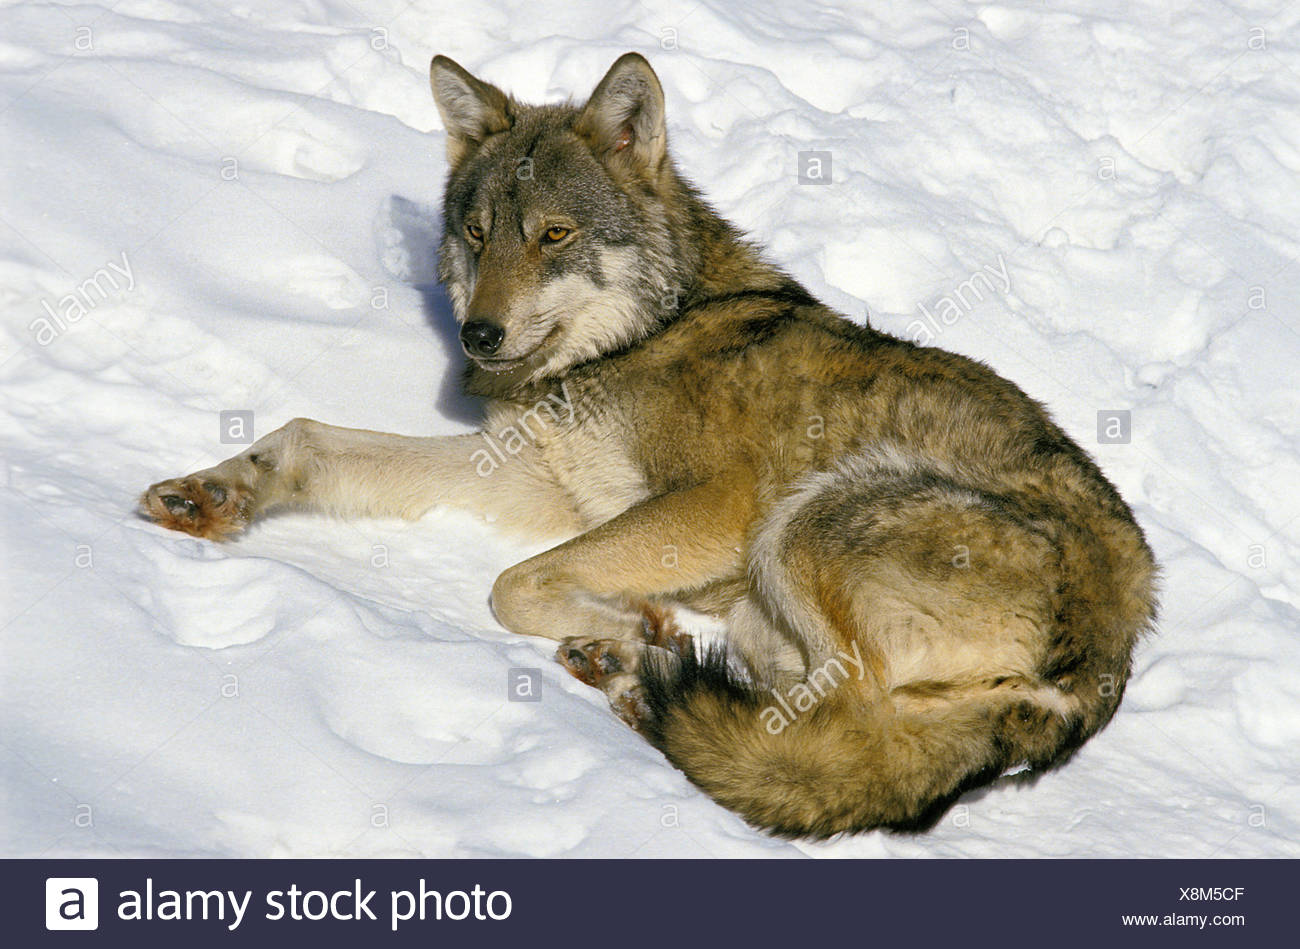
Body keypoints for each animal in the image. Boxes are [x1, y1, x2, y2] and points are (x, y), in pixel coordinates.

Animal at [140, 53, 1158, 838]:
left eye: (554, 234)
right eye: (478, 233)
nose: (478, 335)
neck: (634, 336)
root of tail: (1115, 646)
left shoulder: (715, 500)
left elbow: (512, 582)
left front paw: (630, 623)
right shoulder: (531, 479)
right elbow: (309, 437)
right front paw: (212, 493)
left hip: (801, 524)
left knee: (846, 729)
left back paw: (633, 662)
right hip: (774, 594)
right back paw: (630, 671)